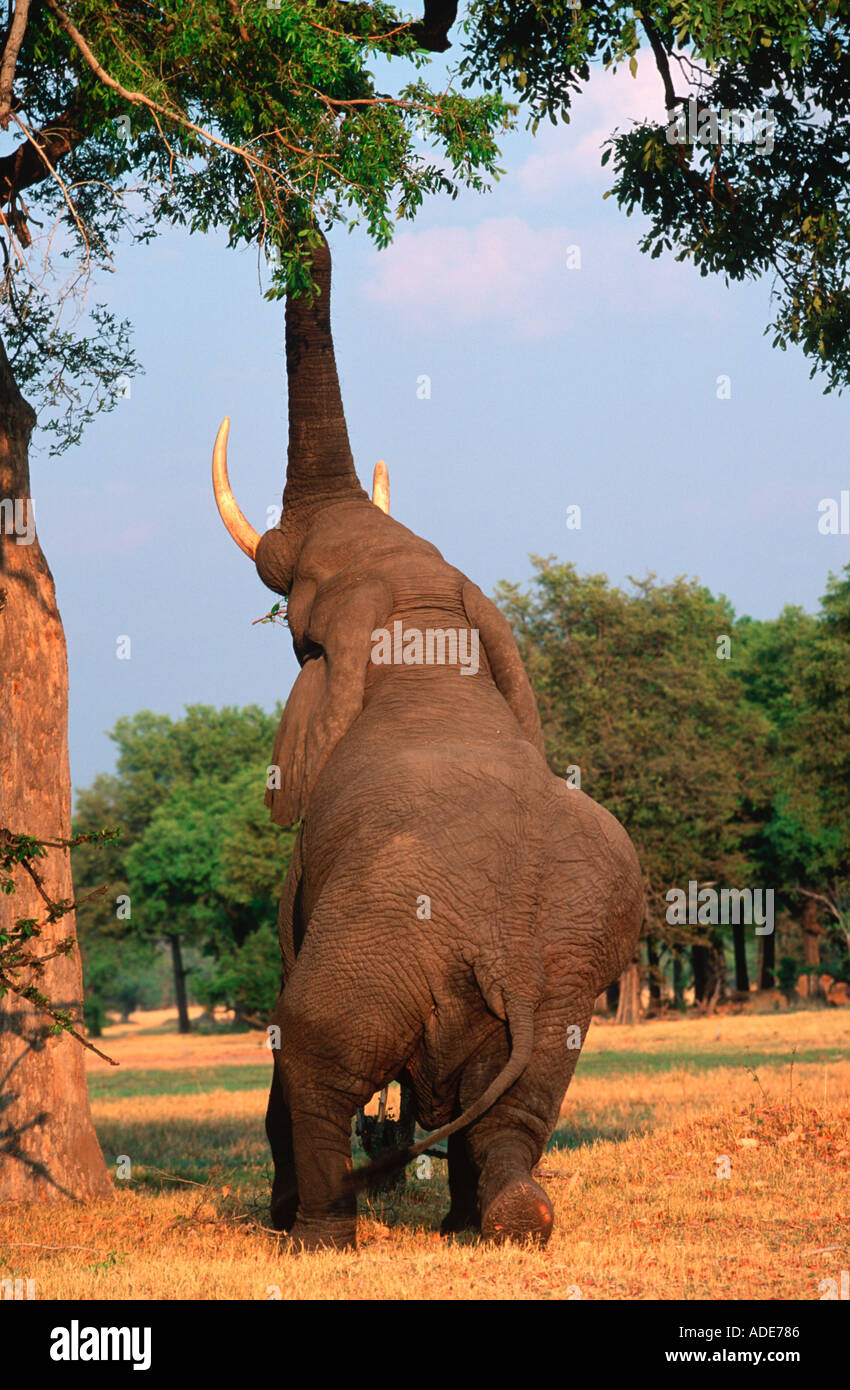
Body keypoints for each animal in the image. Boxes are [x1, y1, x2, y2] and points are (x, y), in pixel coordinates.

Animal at [212, 234, 644, 1251]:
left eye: (300, 605)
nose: (309, 234)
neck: (424, 620)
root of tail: (508, 953)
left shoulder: (305, 872)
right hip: (568, 978)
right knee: (517, 1106)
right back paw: (503, 1222)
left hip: (380, 947)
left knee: (316, 1057)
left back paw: (316, 1236)